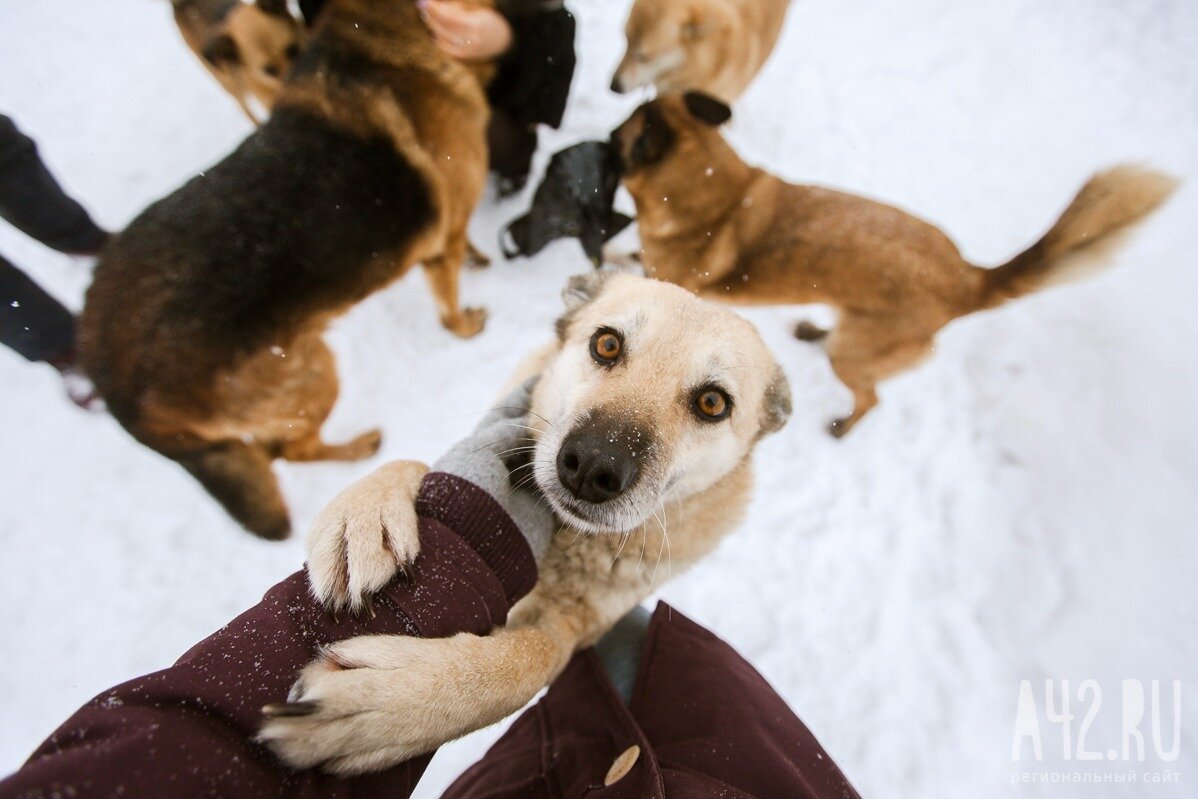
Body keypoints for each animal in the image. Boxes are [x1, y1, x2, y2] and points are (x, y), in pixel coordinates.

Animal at [257, 275, 790, 776]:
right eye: (607, 344)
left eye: (712, 403)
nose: (592, 465)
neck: (567, 545)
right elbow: (418, 463)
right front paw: (366, 515)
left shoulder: (573, 631)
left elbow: (532, 660)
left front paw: (390, 702)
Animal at [613, 94, 1174, 438]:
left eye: (620, 135)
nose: (609, 132)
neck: (716, 190)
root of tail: (971, 278)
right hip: (856, 330)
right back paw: (815, 330)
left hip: (856, 358)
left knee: (871, 399)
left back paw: (842, 427)